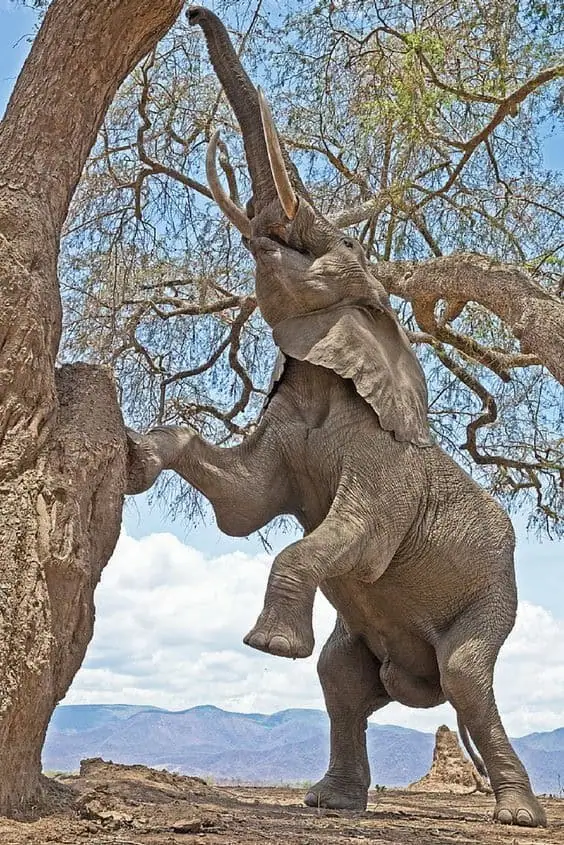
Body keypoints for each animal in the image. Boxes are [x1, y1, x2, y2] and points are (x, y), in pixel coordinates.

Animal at [126, 6, 546, 828]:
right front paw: (133, 454)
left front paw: (266, 648)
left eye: (339, 242)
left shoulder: (389, 465)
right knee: (344, 677)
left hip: (496, 594)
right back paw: (330, 803)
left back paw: (517, 815)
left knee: (465, 676)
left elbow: (356, 535)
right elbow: (243, 500)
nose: (191, 14)